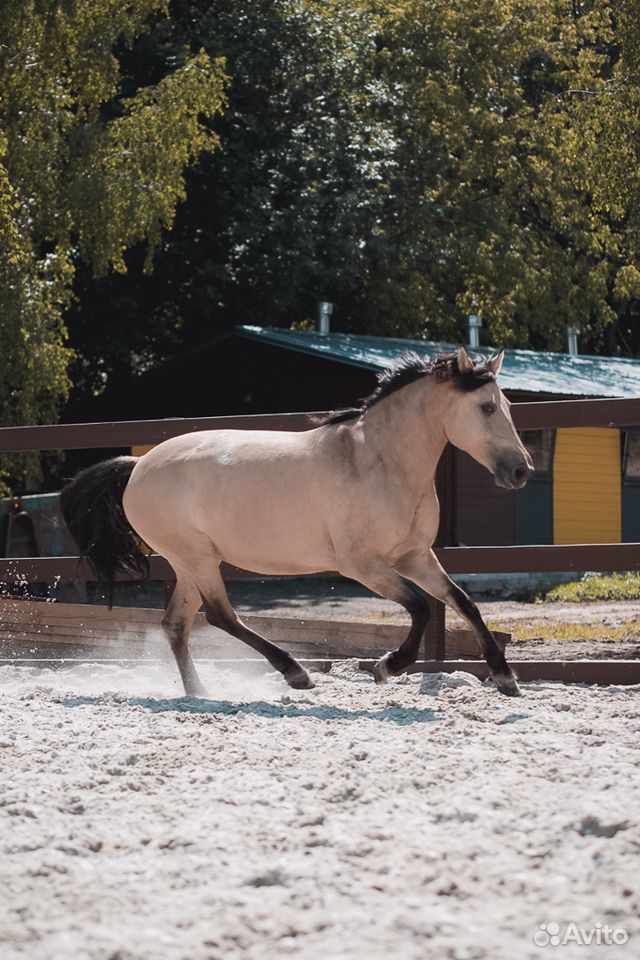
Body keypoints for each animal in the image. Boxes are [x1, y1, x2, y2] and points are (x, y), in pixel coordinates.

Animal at [60, 346, 532, 698]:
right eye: (487, 407)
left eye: (508, 405)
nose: (521, 471)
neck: (379, 463)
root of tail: (137, 465)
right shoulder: (361, 565)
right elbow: (420, 607)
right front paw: (387, 667)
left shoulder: (415, 557)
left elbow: (462, 602)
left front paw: (505, 678)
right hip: (195, 558)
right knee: (220, 616)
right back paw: (295, 673)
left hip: (190, 563)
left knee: (177, 624)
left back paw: (199, 691)